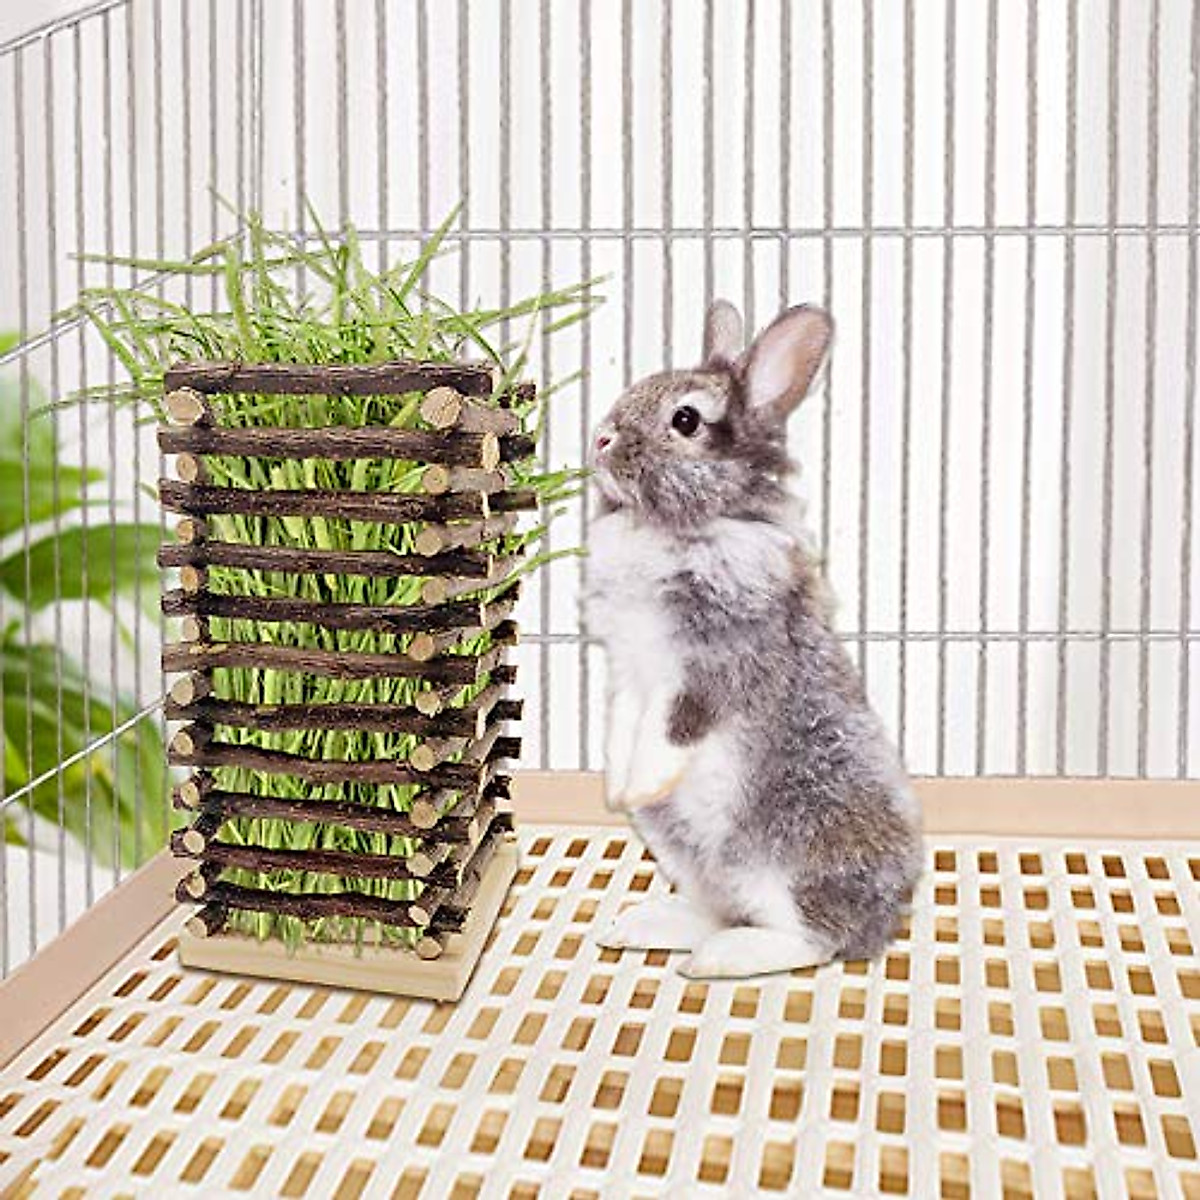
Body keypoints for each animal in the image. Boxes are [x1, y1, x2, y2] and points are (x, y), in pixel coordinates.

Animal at [583, 300, 923, 979]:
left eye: (686, 419)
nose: (600, 438)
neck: (673, 528)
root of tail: (885, 918)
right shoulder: (626, 670)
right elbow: (622, 726)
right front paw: (615, 787)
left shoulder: (709, 665)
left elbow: (667, 730)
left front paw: (640, 784)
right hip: (689, 857)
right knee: (718, 910)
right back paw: (642, 926)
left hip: (791, 857)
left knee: (813, 939)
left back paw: (721, 959)